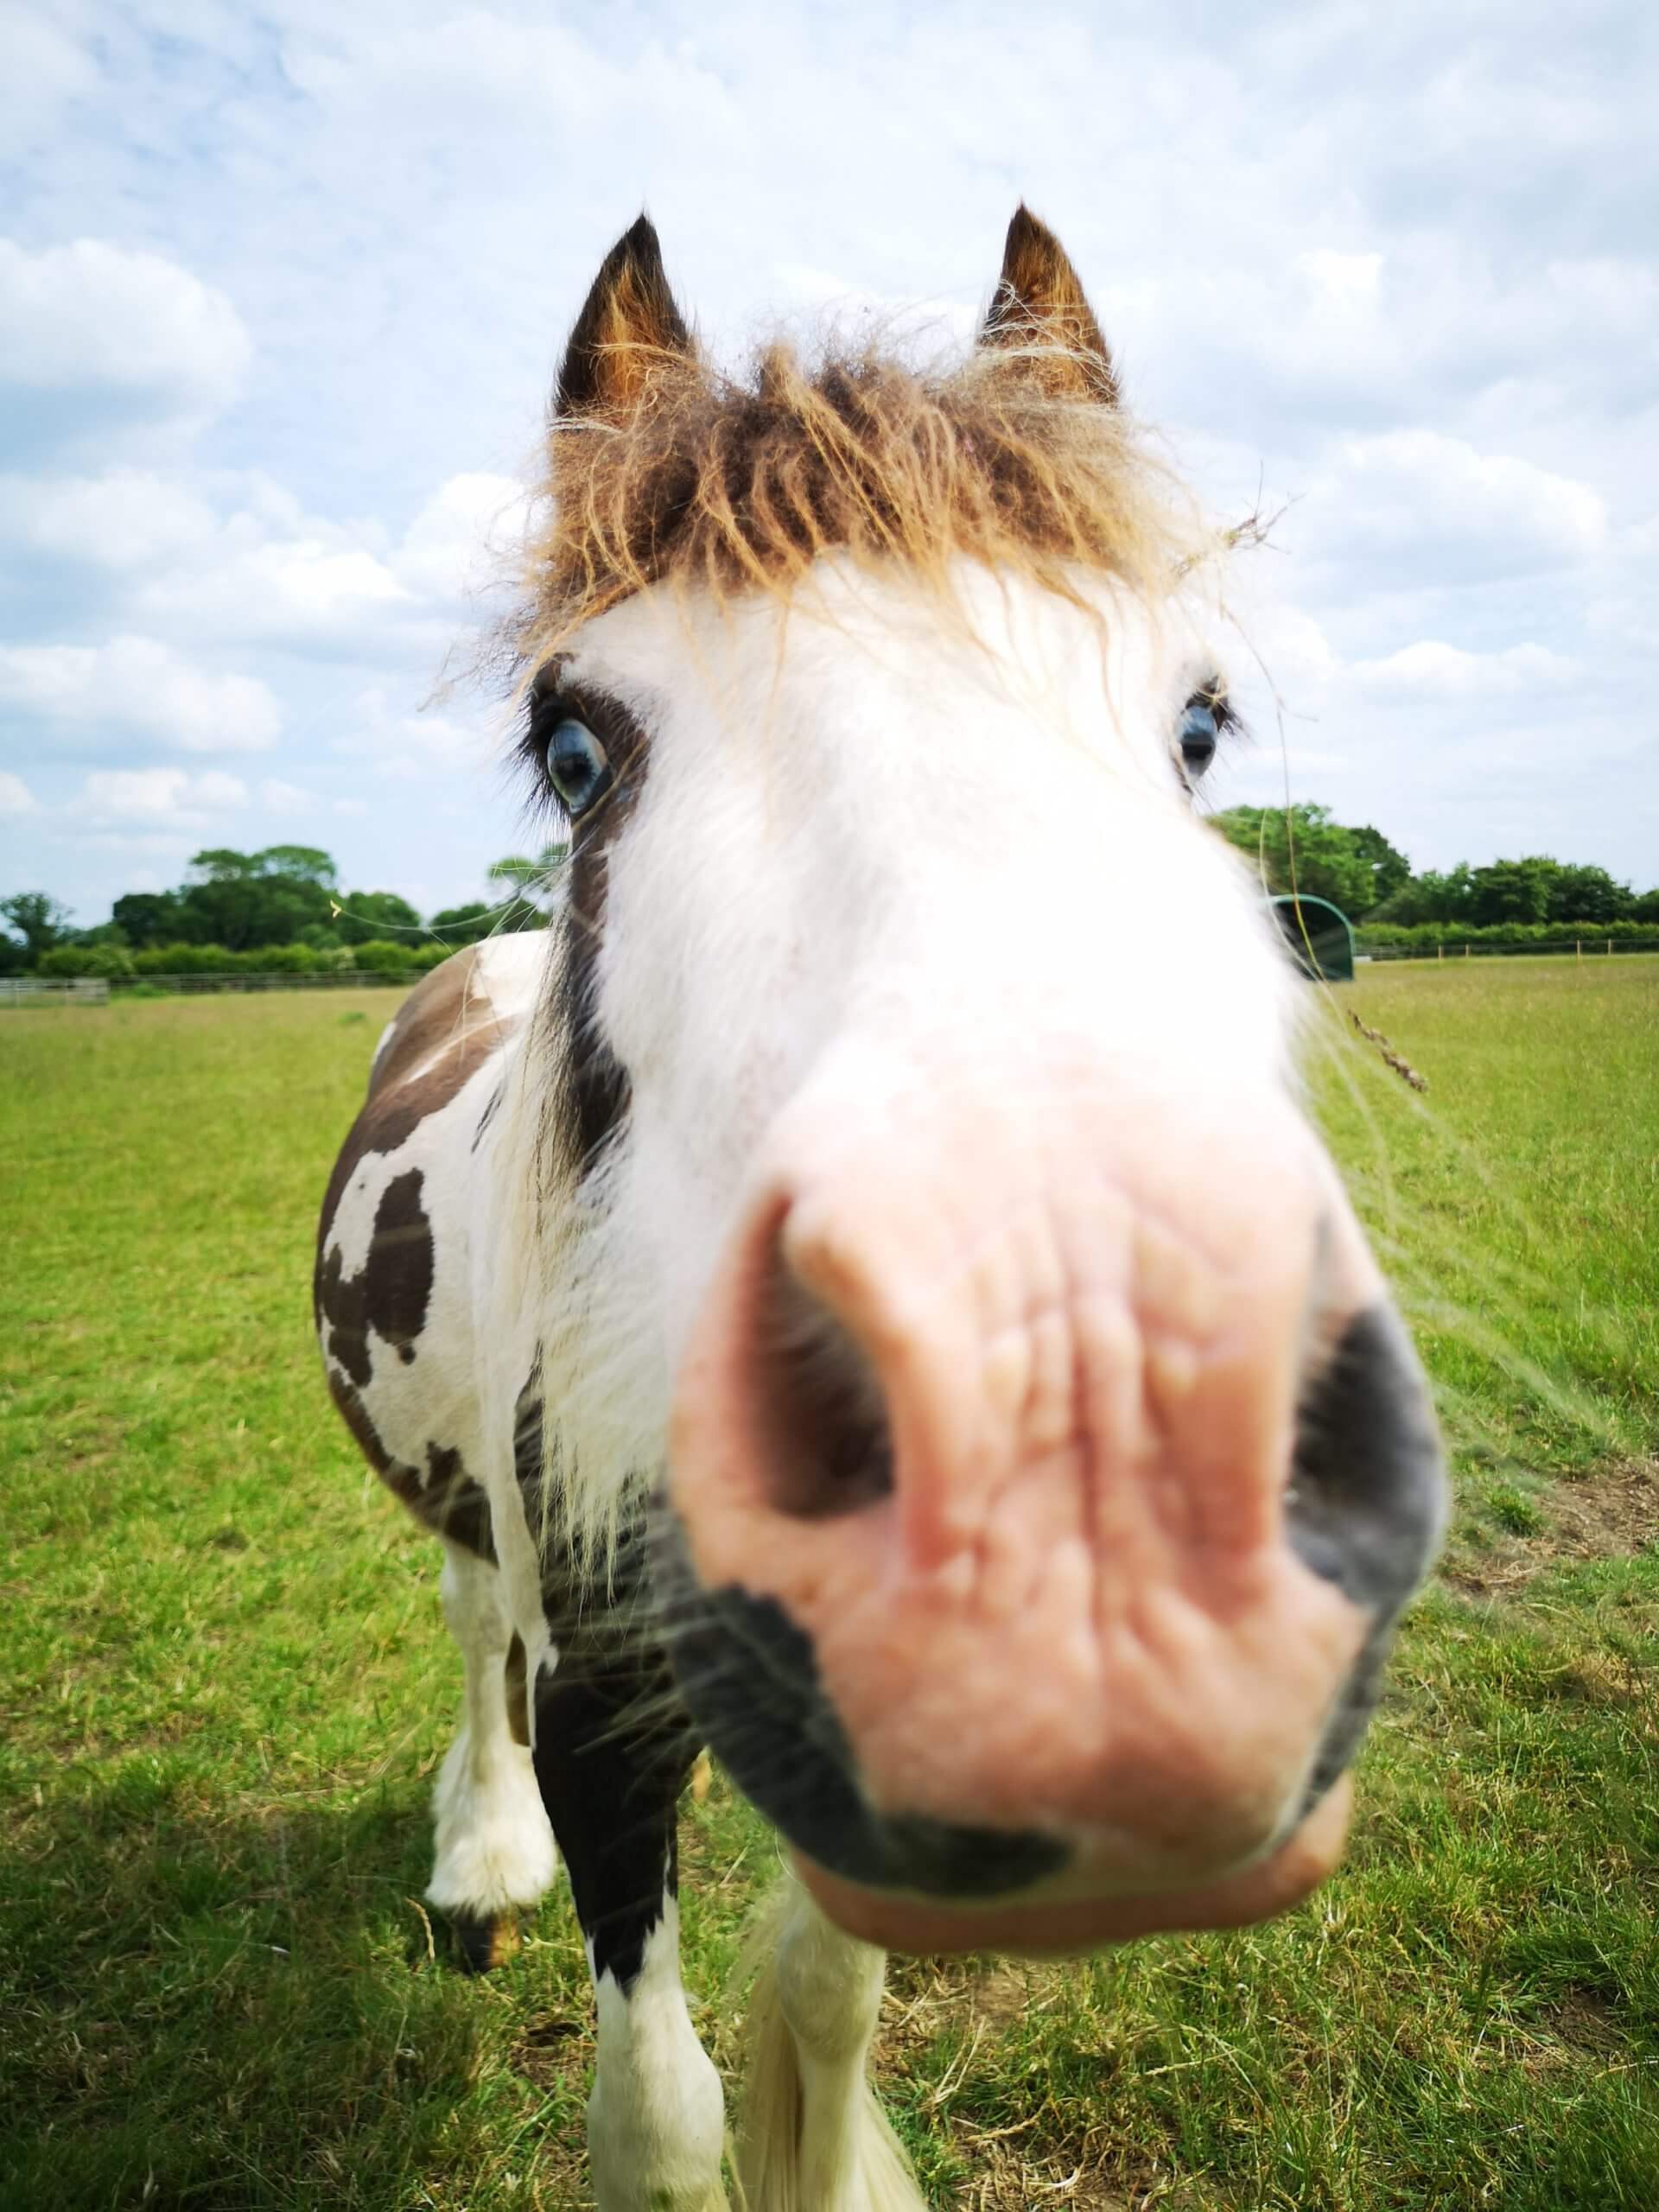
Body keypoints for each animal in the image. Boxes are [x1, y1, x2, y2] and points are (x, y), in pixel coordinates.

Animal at [314, 207, 1448, 2211]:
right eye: (571, 745)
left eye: (1198, 725)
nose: (1088, 1467)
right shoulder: (604, 1687)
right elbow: (661, 2116)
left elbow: (829, 1996)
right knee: (471, 1626)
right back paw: (482, 1858)